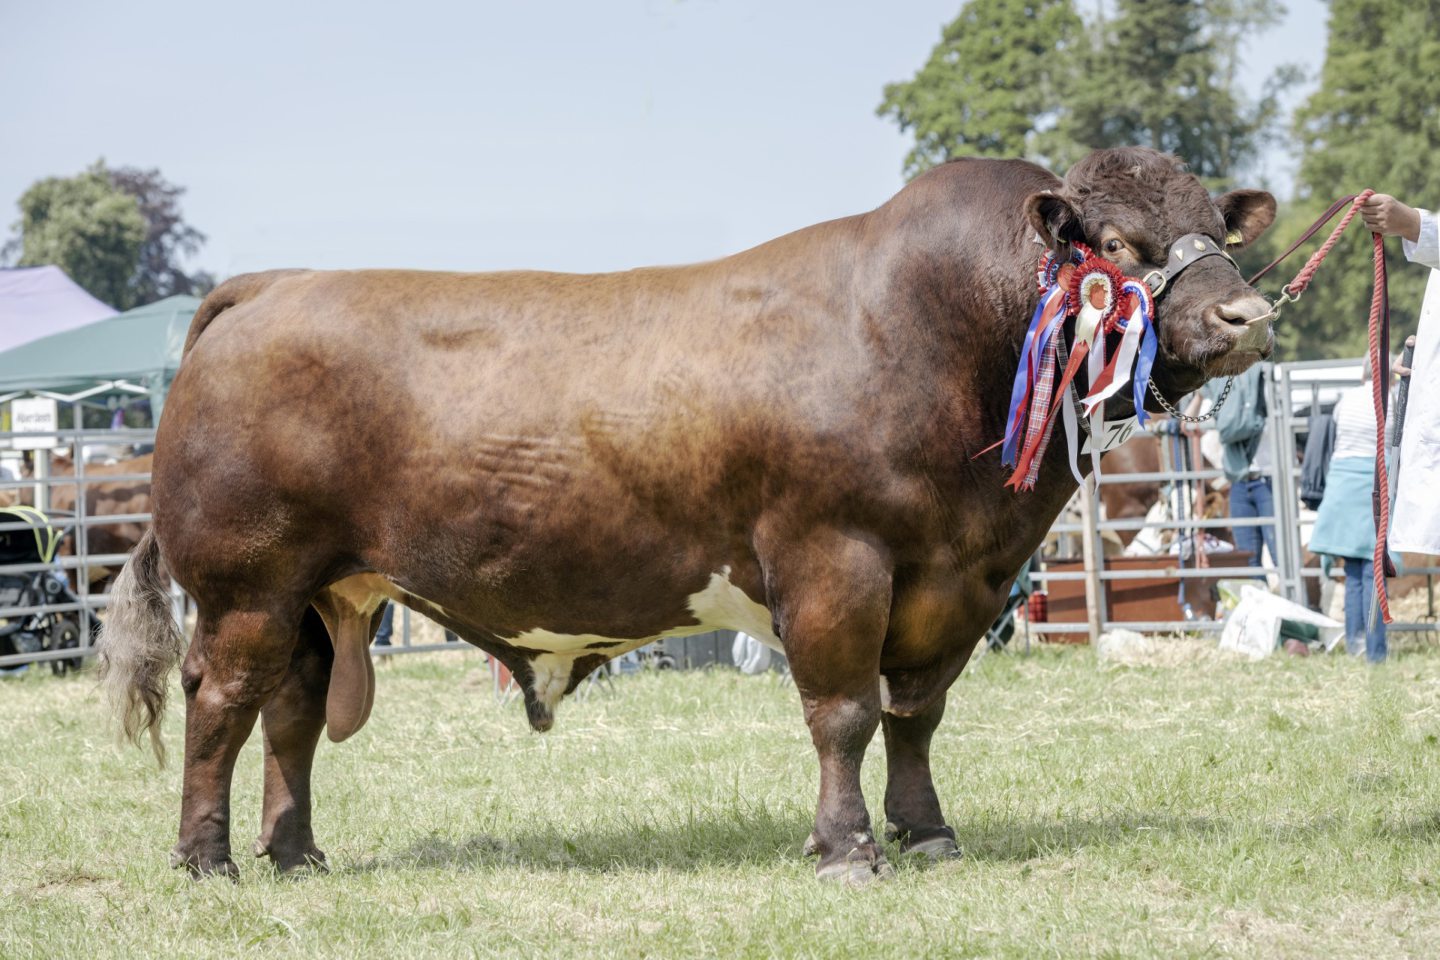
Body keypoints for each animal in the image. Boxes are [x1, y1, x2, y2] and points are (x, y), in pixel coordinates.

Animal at [99, 147, 1276, 884]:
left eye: (1213, 225)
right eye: (1114, 246)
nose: (1247, 314)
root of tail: (270, 286)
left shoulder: (955, 584)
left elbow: (916, 715)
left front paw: (928, 833)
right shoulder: (834, 560)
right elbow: (844, 713)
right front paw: (848, 850)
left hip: (321, 593)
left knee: (293, 716)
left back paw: (296, 855)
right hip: (246, 586)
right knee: (222, 706)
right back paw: (206, 861)